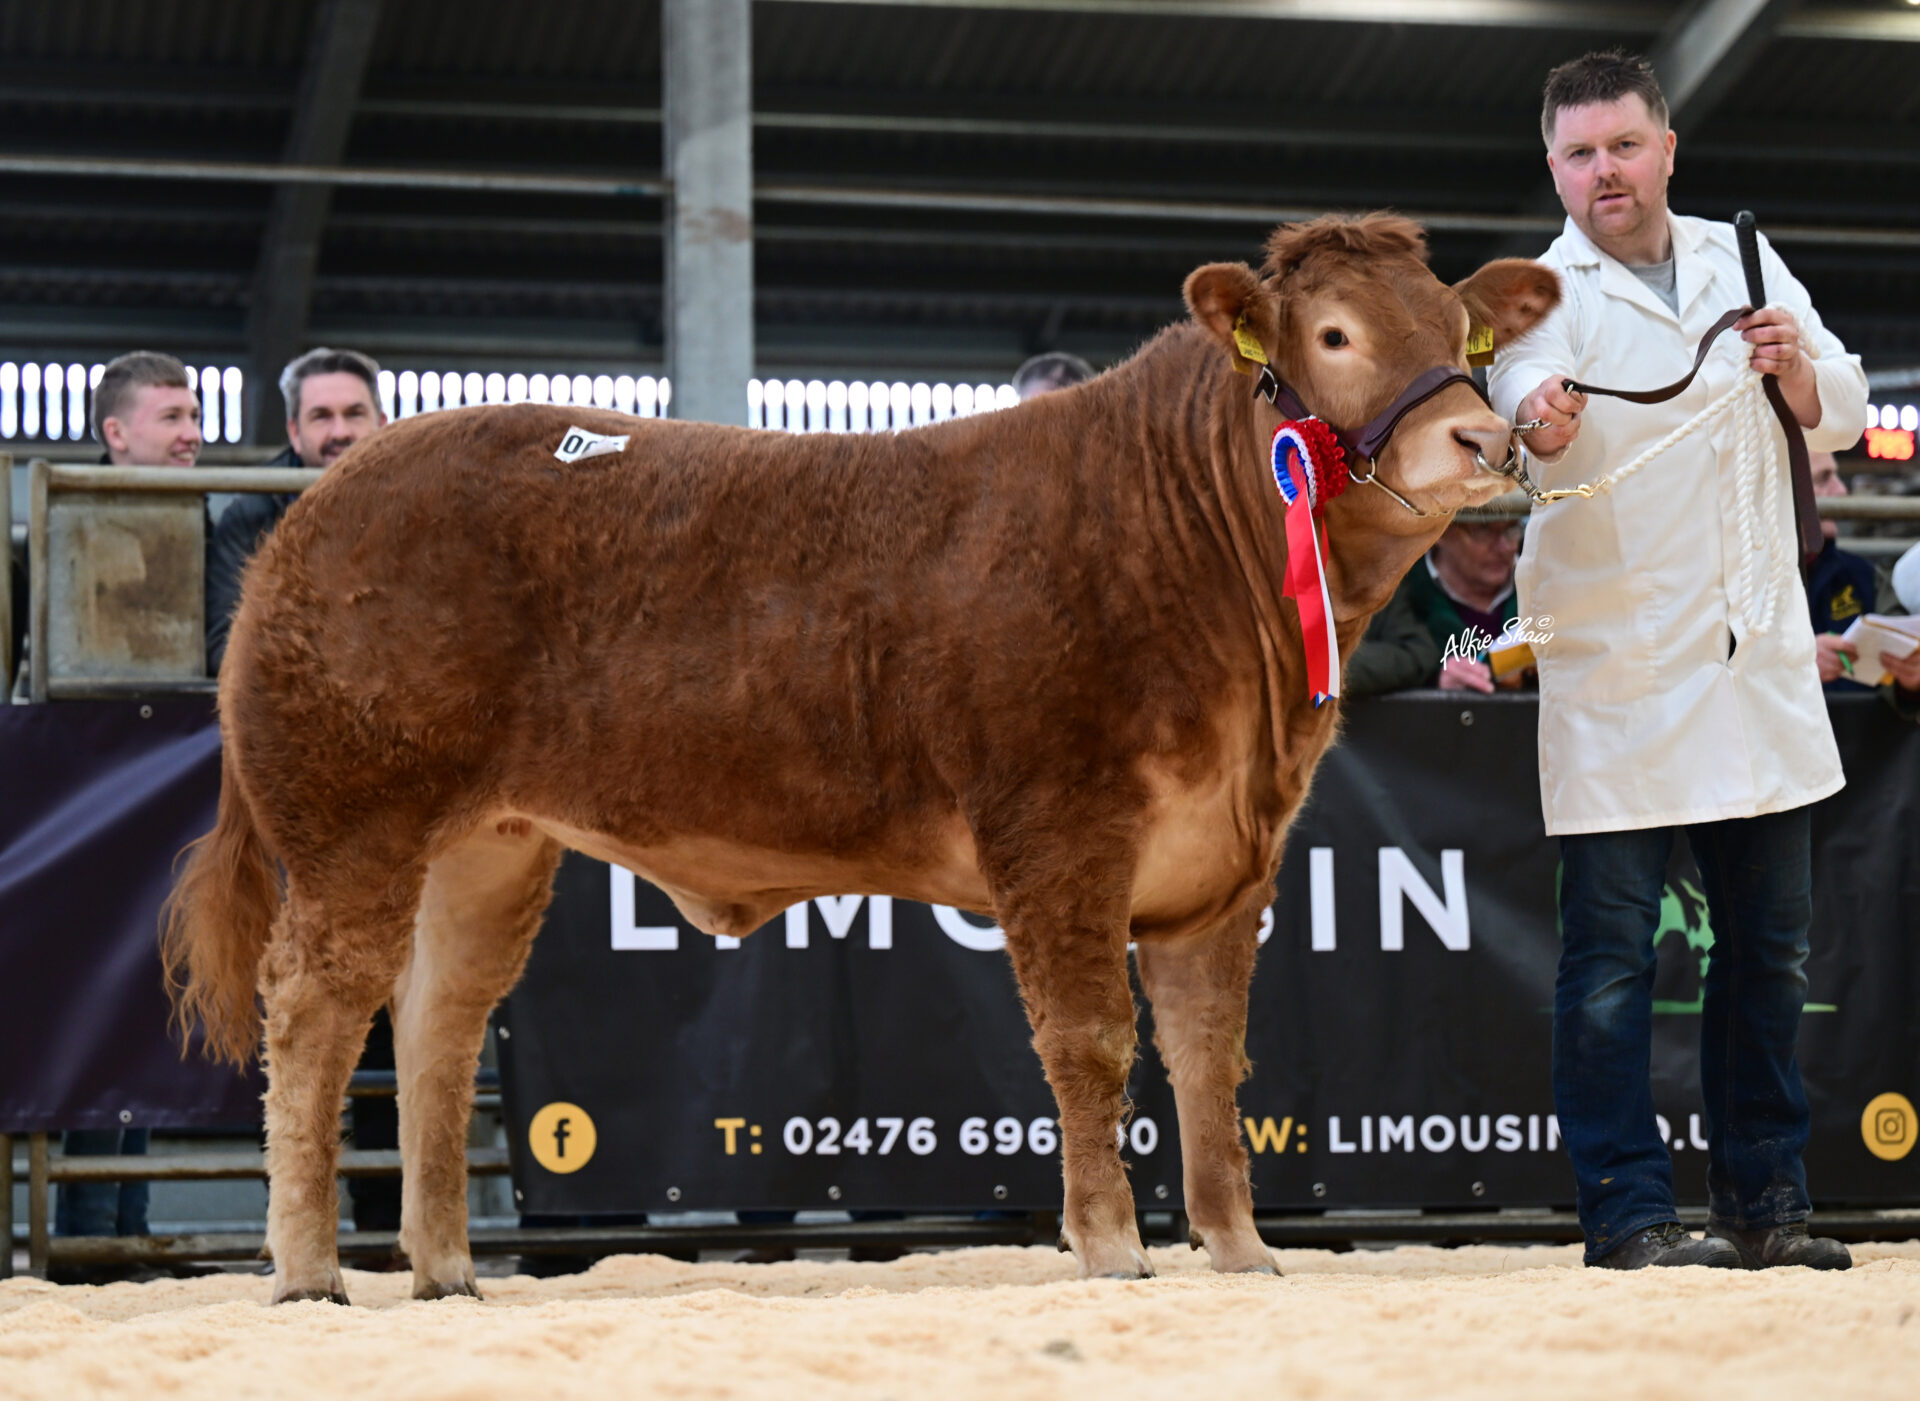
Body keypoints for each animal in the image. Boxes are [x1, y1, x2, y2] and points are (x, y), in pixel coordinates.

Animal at [163, 214, 1557, 1303]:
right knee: (317, 1010)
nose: (1483, 443)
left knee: (439, 1022)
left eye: (1464, 334)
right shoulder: (1059, 827)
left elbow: (1211, 1057)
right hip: (354, 821)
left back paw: (448, 1269)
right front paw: (1112, 1248)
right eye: (1333, 338)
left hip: (486, 849)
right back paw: (309, 1271)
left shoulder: (1227, 859)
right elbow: (1092, 1041)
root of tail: (320, 506)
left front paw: (1241, 1250)